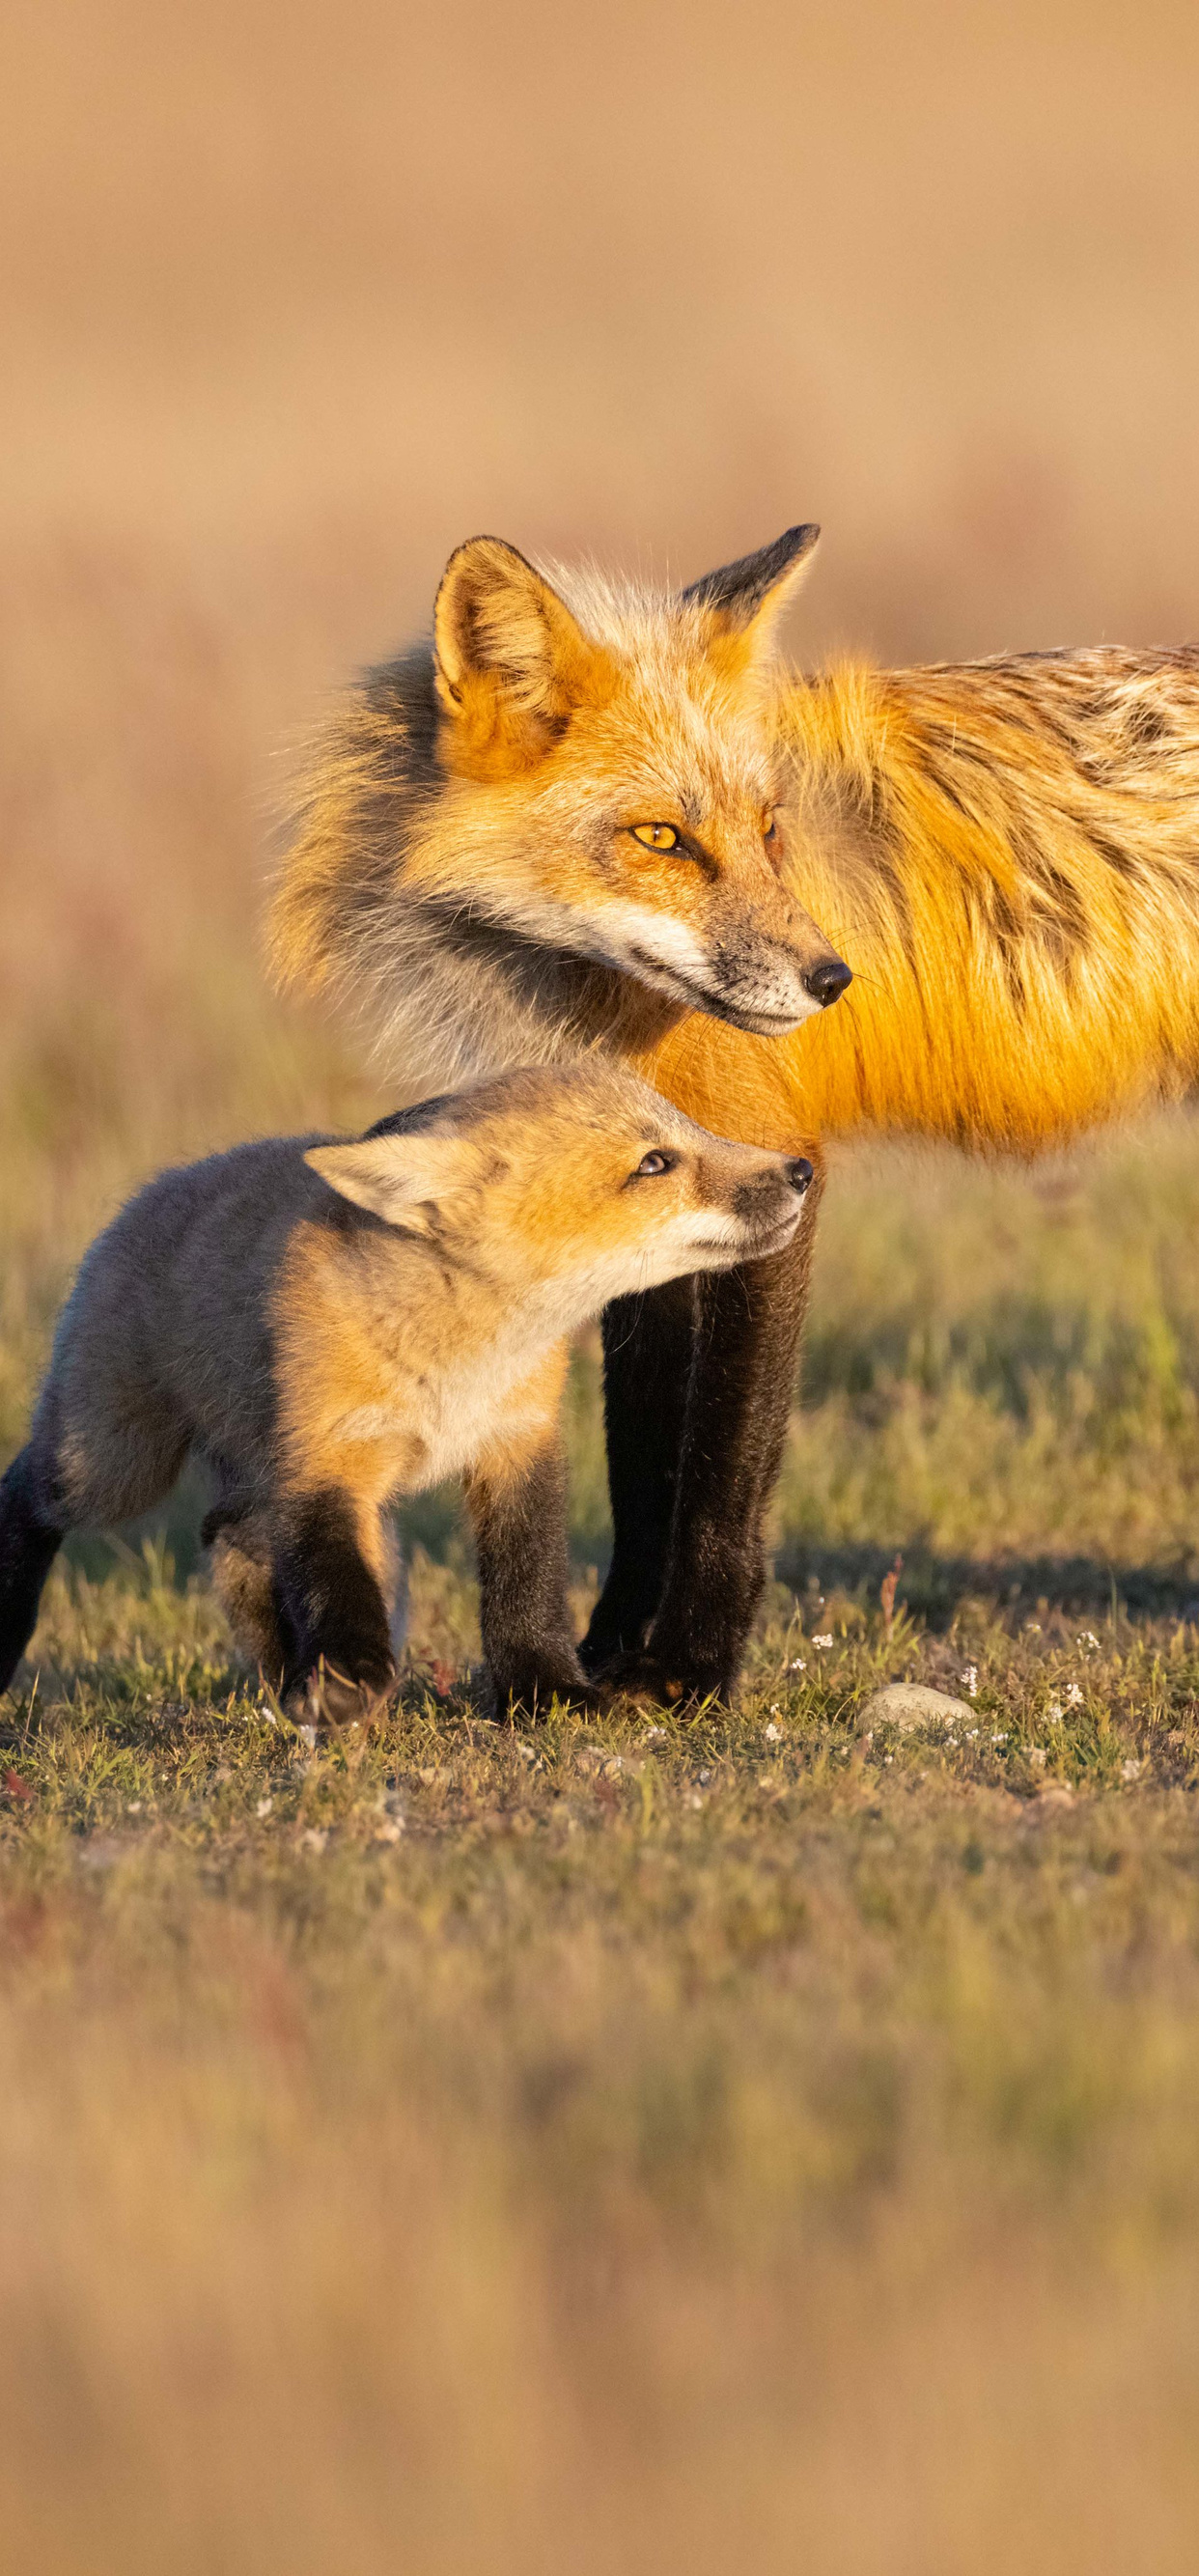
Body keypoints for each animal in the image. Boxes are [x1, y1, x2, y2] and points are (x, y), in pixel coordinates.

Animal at [0, 1063, 813, 1724]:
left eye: (689, 1128)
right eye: (654, 1163)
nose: (801, 1168)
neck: (459, 1369)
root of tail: (163, 1184)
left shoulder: (517, 1445)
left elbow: (527, 1586)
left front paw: (545, 1693)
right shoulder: (329, 1461)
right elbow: (340, 1584)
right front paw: (348, 1681)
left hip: (241, 1475)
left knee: (225, 1533)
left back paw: (281, 1674)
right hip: (112, 1465)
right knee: (27, 1491)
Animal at [270, 526, 1199, 1706]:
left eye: (767, 829)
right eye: (661, 837)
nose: (833, 980)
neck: (592, 1007)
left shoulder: (777, 1166)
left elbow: (722, 1465)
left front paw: (690, 1666)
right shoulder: (646, 1188)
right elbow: (640, 1454)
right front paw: (609, 1647)